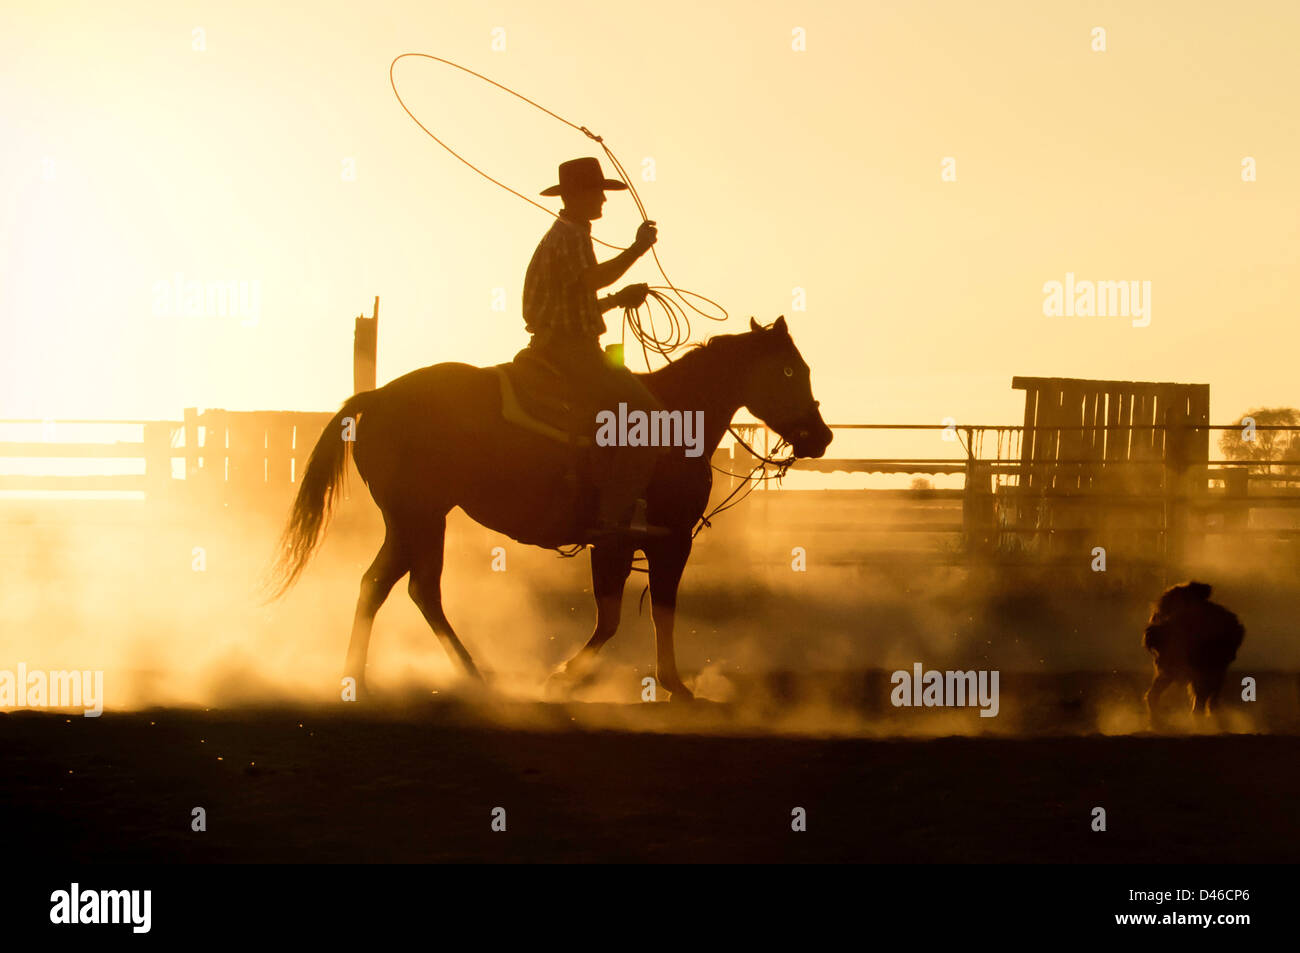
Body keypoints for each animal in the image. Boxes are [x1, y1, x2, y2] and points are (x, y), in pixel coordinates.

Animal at [269, 315, 833, 700]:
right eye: (788, 370)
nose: (821, 436)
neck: (672, 421)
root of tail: (376, 397)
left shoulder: (644, 543)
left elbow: (643, 613)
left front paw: (664, 683)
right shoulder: (653, 540)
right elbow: (628, 616)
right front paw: (575, 678)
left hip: (417, 520)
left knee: (397, 586)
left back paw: (393, 675)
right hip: (418, 516)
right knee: (402, 586)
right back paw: (442, 675)